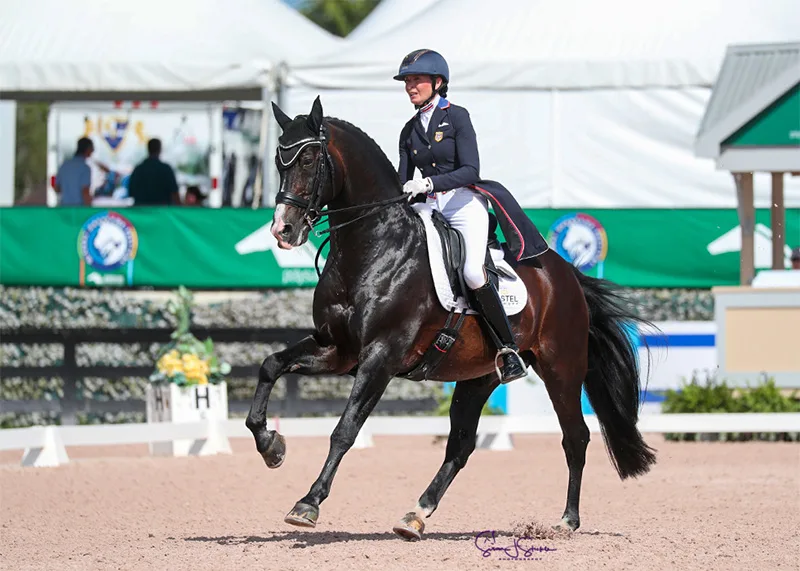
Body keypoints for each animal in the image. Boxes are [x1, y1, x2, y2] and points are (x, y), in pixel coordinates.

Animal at [245, 96, 657, 541]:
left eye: (308, 159)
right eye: (279, 161)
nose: (283, 230)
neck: (371, 247)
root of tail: (565, 273)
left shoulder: (381, 356)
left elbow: (345, 429)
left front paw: (307, 504)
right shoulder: (337, 349)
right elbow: (271, 365)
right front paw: (271, 446)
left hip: (560, 366)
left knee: (575, 437)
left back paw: (566, 520)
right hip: (478, 377)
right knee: (461, 445)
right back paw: (415, 515)